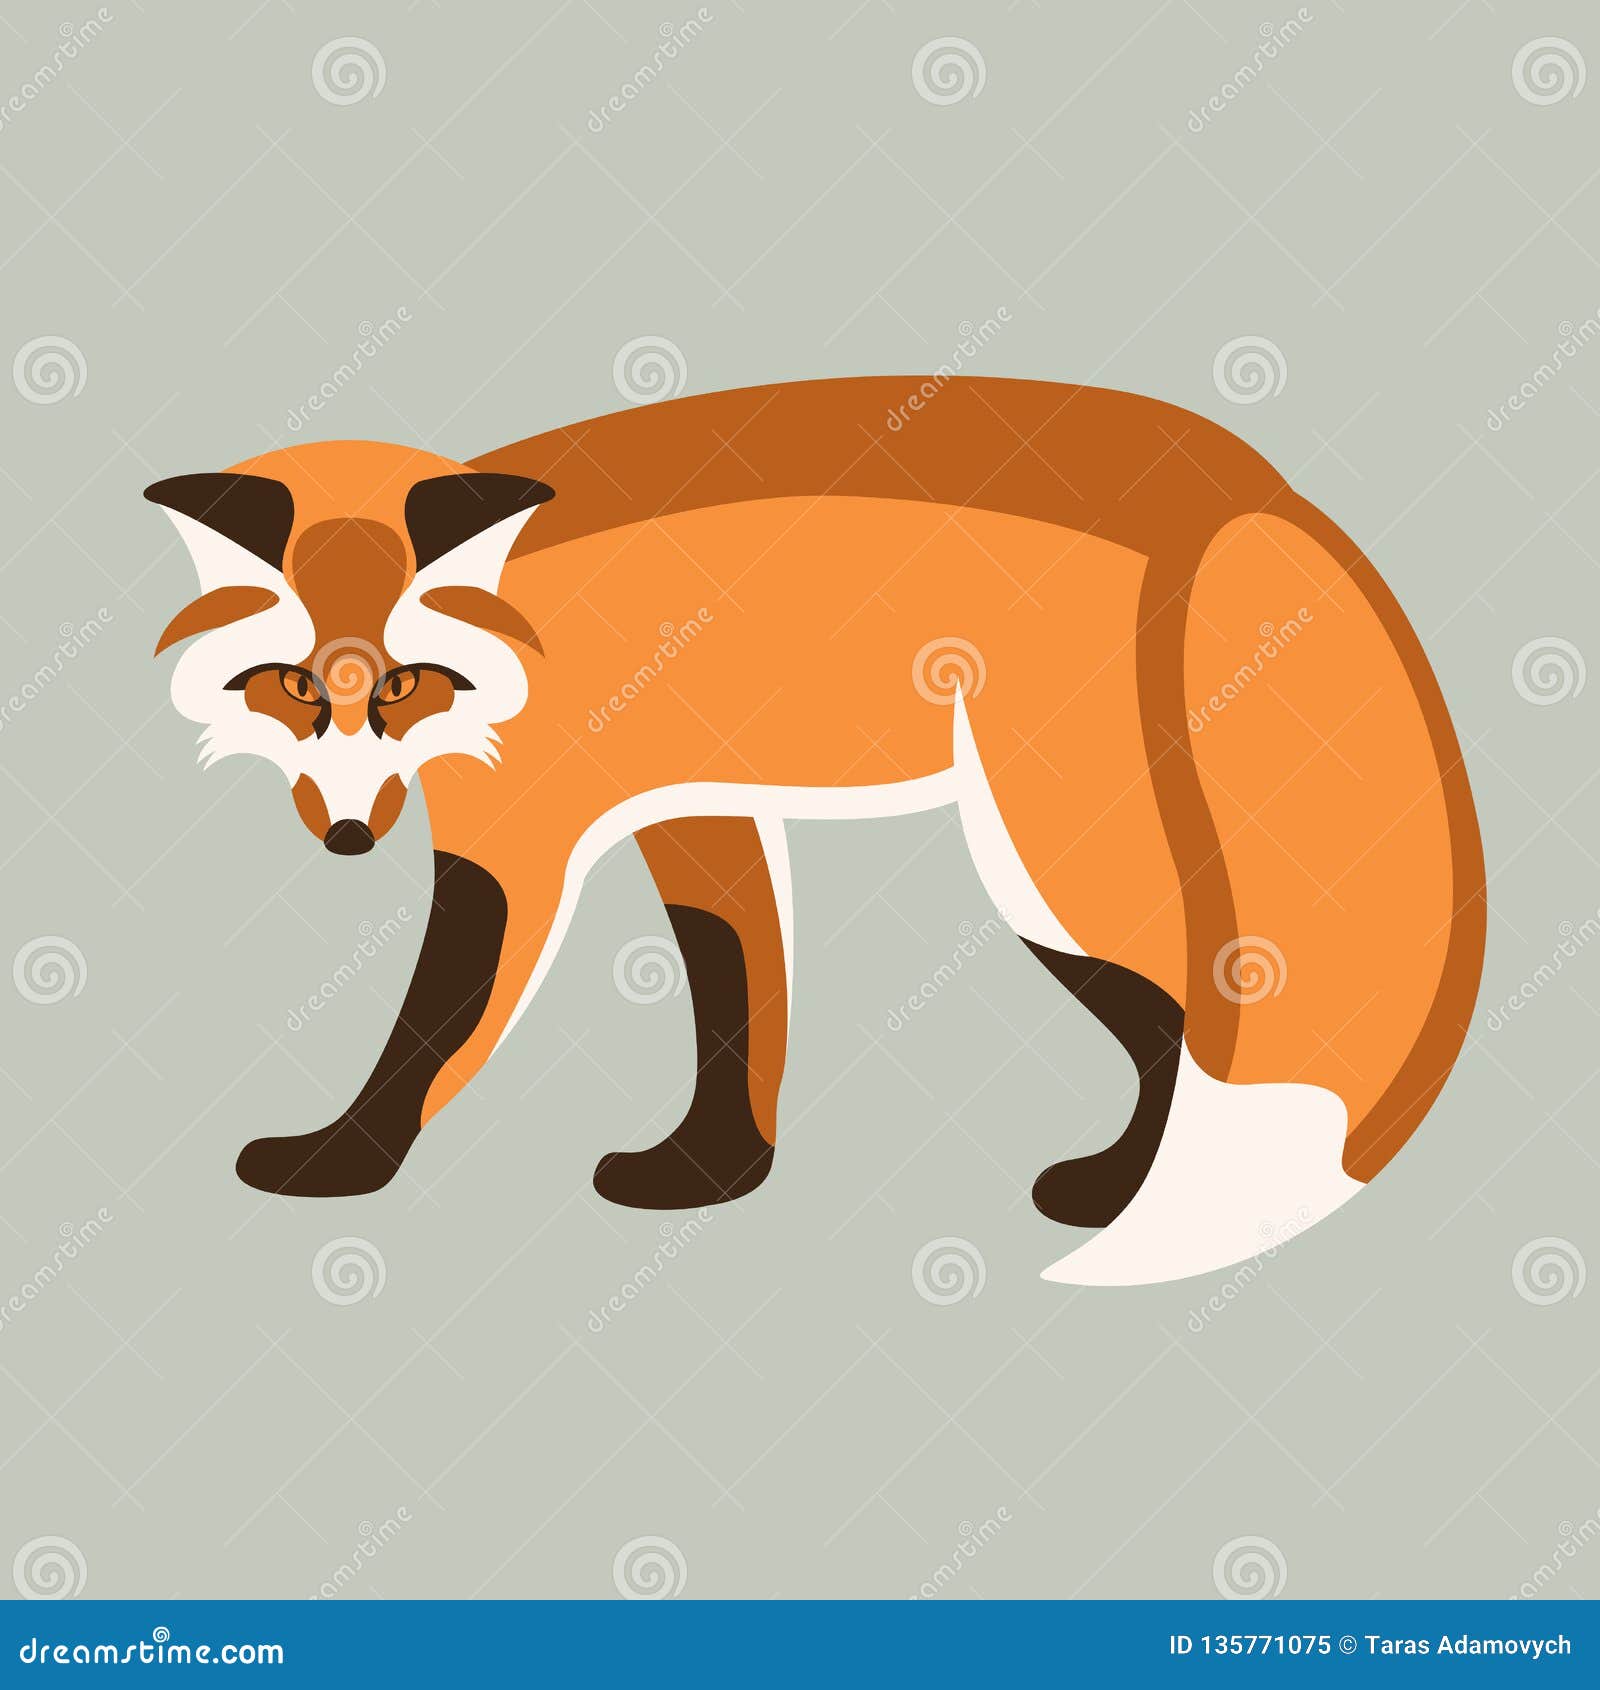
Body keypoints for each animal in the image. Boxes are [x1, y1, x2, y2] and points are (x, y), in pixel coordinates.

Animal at [145, 376, 1484, 1287]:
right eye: (293, 686)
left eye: (406, 686)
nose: (348, 838)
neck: (524, 630)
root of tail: (1243, 479)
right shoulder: (696, 809)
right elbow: (736, 990)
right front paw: (709, 1173)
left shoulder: (518, 840)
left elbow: (434, 1026)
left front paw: (341, 1161)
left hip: (1047, 860)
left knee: (1193, 997)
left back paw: (1118, 1196)